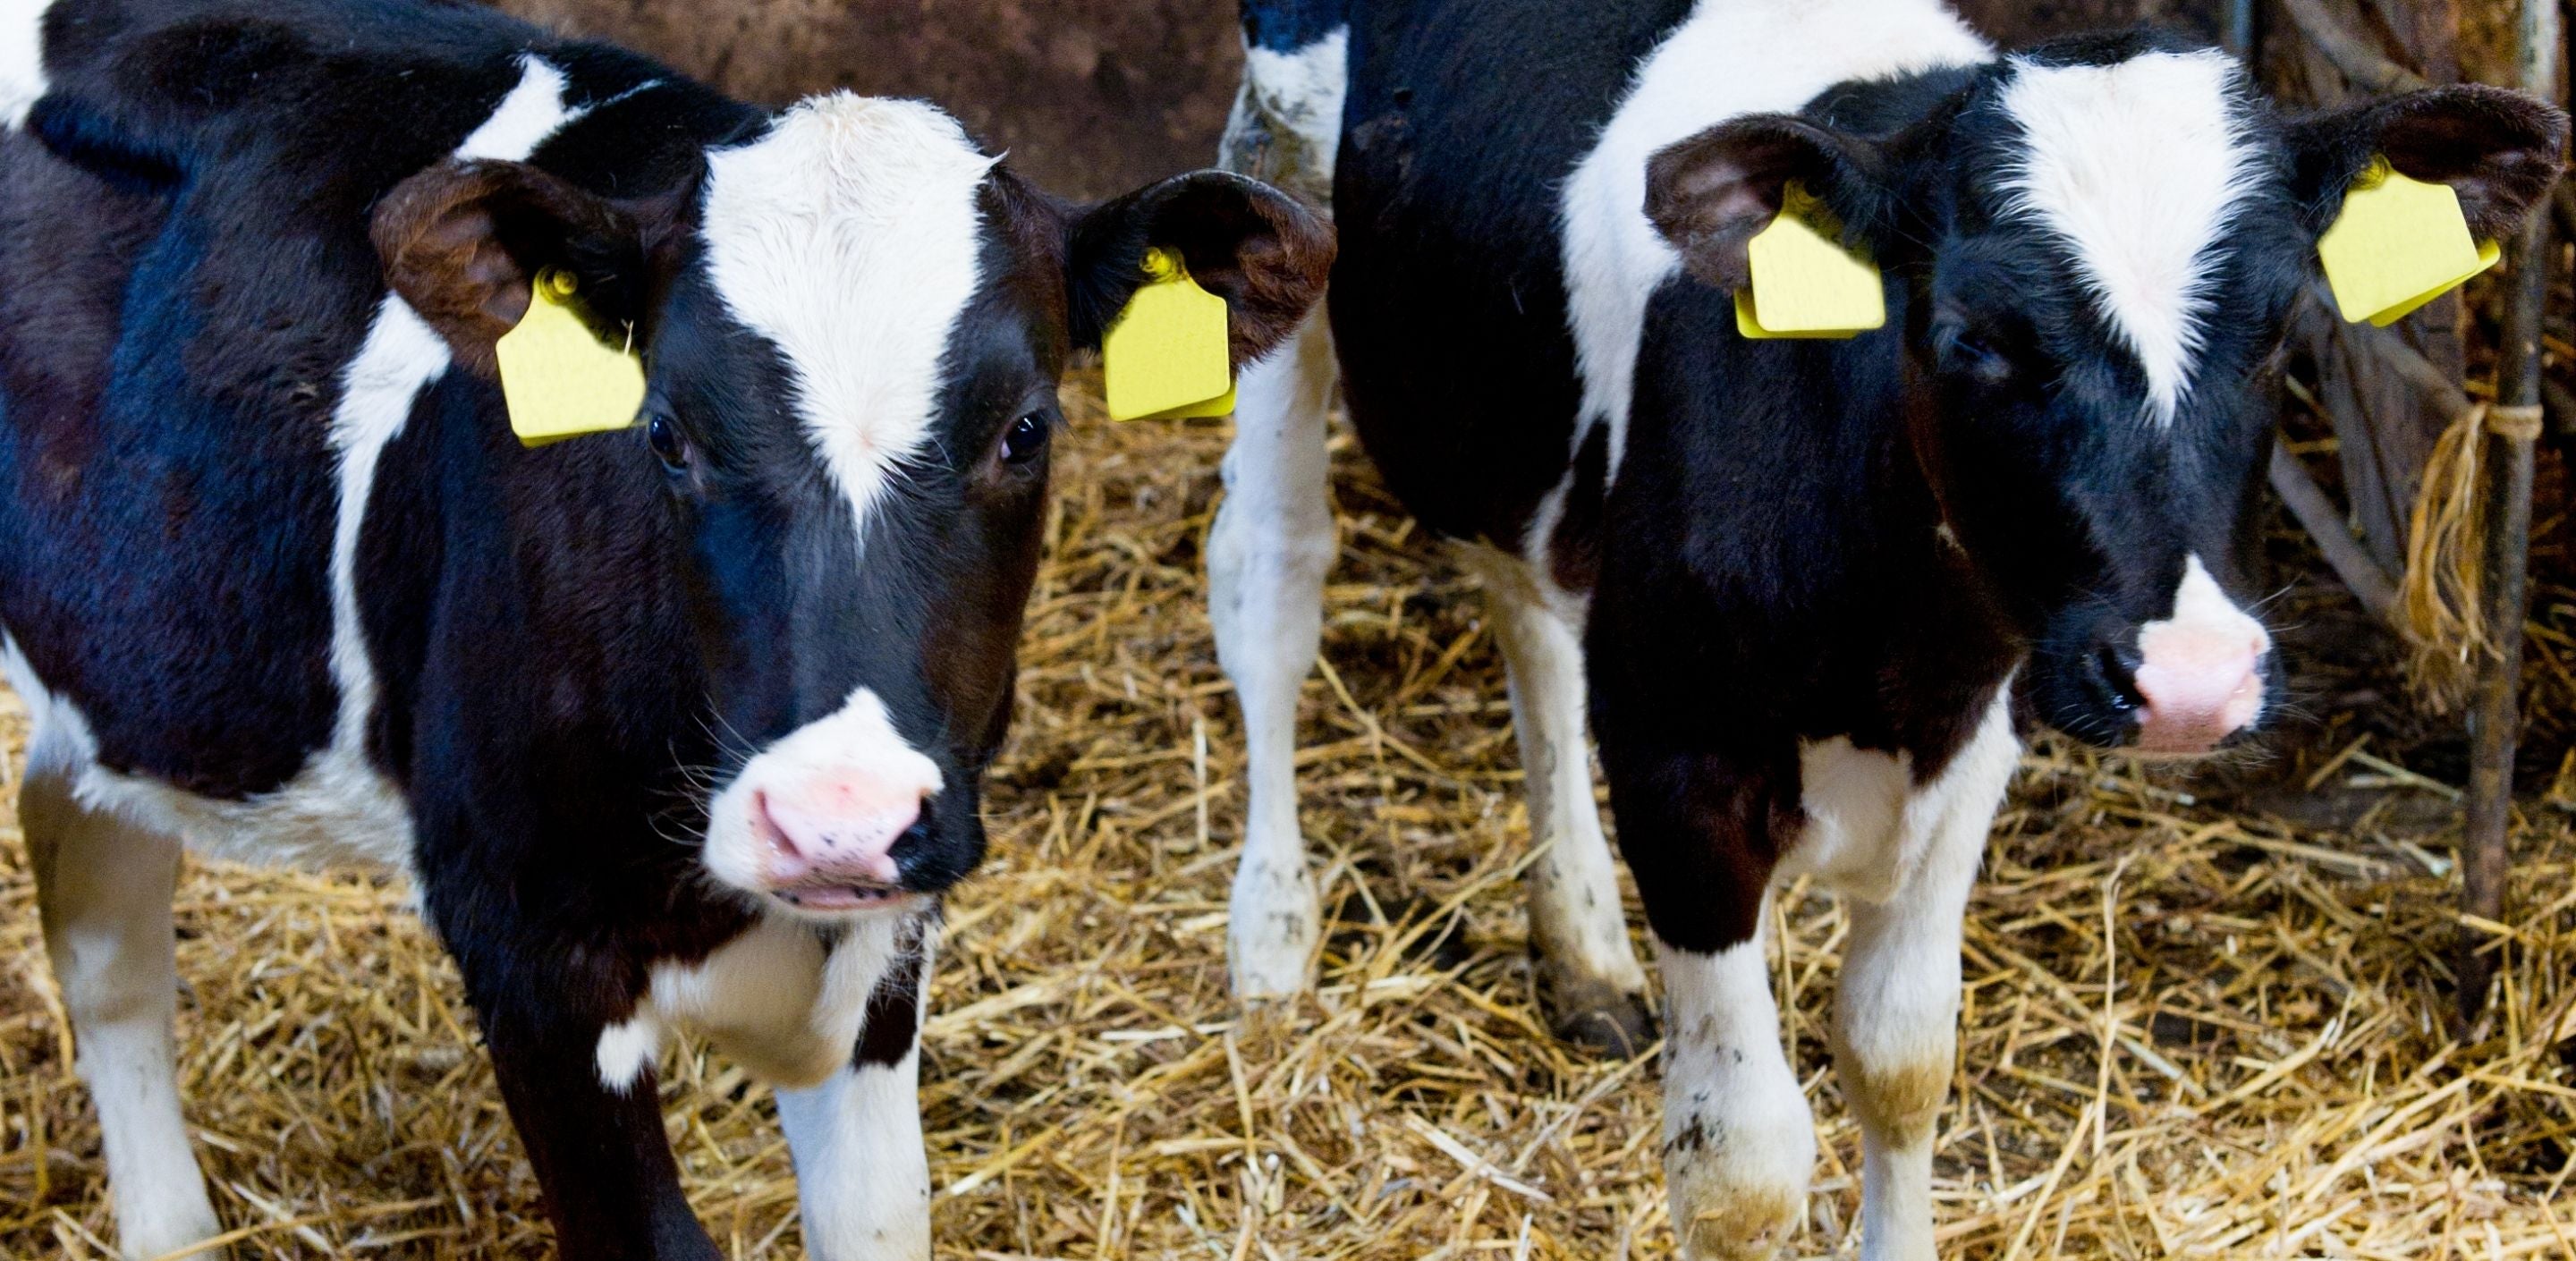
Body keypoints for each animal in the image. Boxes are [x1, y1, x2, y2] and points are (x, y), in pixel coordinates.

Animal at [0, 1, 1330, 1257]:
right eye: (666, 432)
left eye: (1027, 430)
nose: (833, 819)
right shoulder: (522, 943)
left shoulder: (887, 944)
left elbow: (881, 1221)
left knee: (98, 911)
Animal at [1210, 1, 2564, 1258]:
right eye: (1973, 337)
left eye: (2283, 331)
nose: (2191, 680)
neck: (1891, 652)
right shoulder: (1677, 760)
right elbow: (1742, 1169)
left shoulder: (1972, 742)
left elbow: (1902, 1061)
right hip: (1270, 226)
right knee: (1270, 582)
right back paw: (1272, 943)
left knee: (1529, 620)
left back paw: (1581, 949)